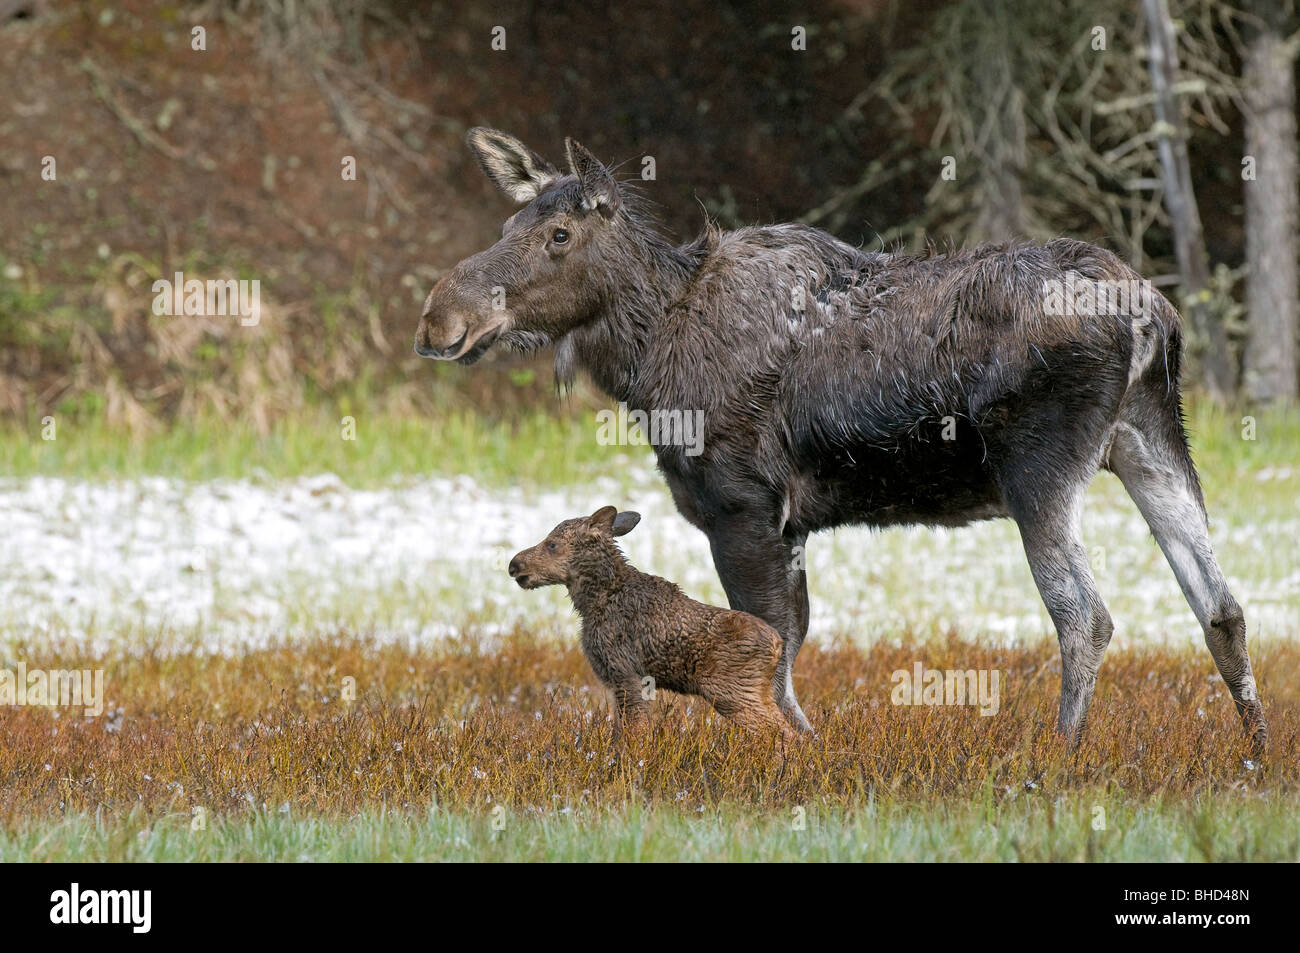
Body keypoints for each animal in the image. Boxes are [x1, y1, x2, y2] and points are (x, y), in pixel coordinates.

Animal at [414, 127, 1266, 755]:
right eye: (509, 225)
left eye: (559, 233)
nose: (439, 318)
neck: (647, 363)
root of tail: (1148, 309)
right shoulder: (789, 529)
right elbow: (786, 651)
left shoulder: (742, 510)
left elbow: (770, 659)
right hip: (1151, 439)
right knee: (1221, 604)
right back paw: (1255, 757)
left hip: (1040, 468)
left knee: (1086, 616)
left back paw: (1055, 759)